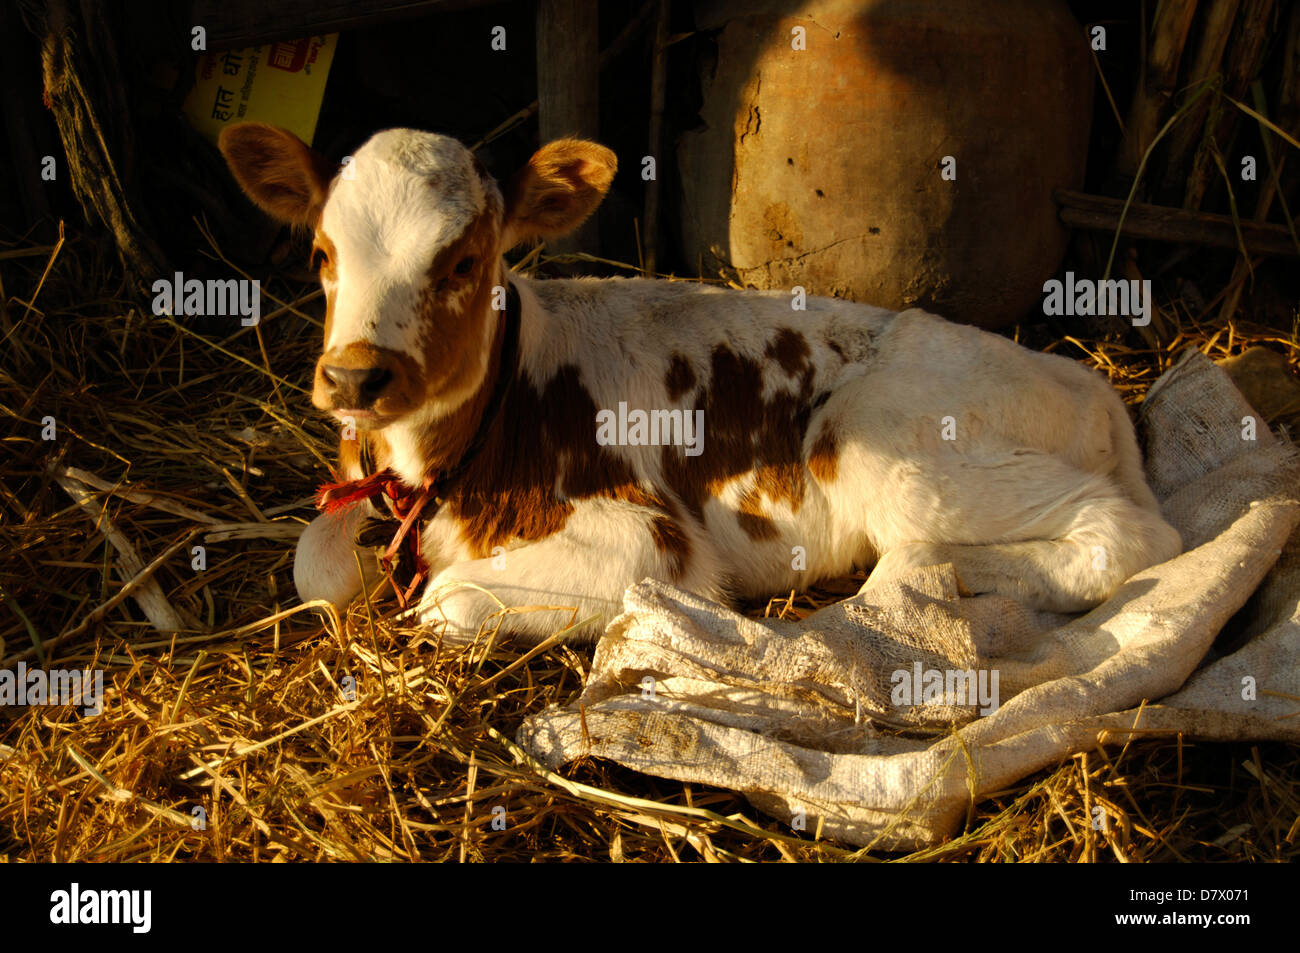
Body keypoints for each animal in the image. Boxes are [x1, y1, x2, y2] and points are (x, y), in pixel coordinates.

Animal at [218, 122, 1182, 644]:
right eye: (322, 254)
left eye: (462, 261)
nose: (356, 375)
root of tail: (1085, 382)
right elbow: (316, 568)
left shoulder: (651, 544)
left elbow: (446, 601)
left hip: (894, 454)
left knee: (1127, 536)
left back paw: (928, 572)